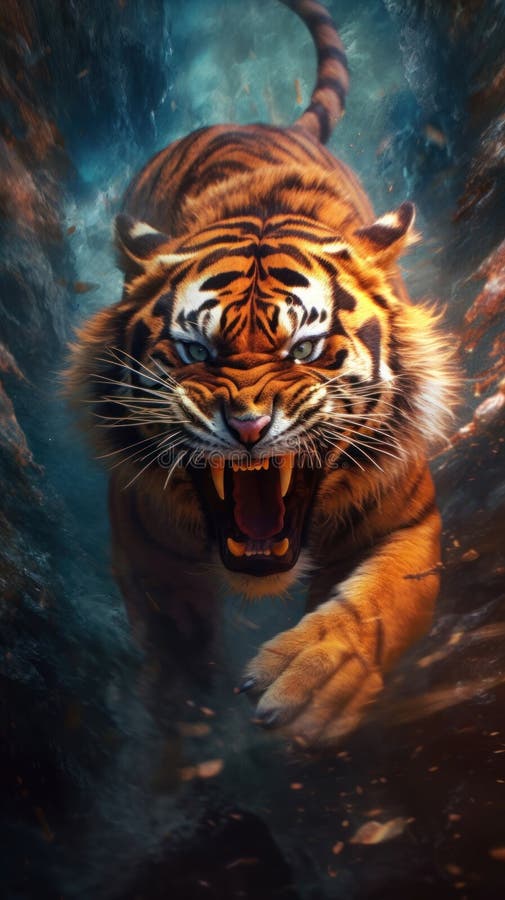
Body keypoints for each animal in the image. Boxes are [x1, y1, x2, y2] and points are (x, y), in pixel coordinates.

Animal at [66, 0, 457, 745]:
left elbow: (383, 601)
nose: (247, 427)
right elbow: (174, 637)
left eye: (303, 349)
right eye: (196, 352)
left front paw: (316, 678)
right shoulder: (142, 532)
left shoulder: (408, 522)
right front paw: (191, 722)